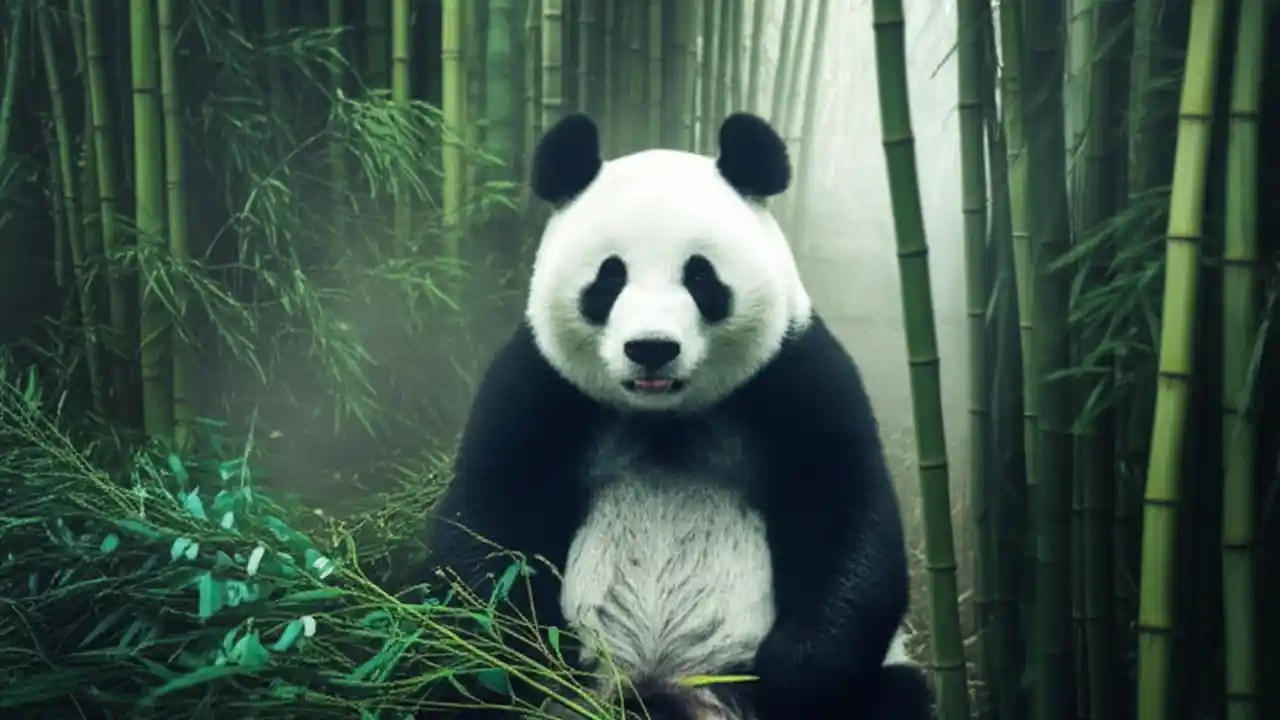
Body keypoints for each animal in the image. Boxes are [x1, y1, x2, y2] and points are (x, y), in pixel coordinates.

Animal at [423, 111, 933, 720]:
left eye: (700, 277)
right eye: (609, 279)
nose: (651, 347)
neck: (664, 417)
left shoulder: (797, 375)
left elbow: (847, 513)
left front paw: (794, 674)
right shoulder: (536, 386)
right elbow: (483, 522)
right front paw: (533, 652)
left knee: (897, 692)